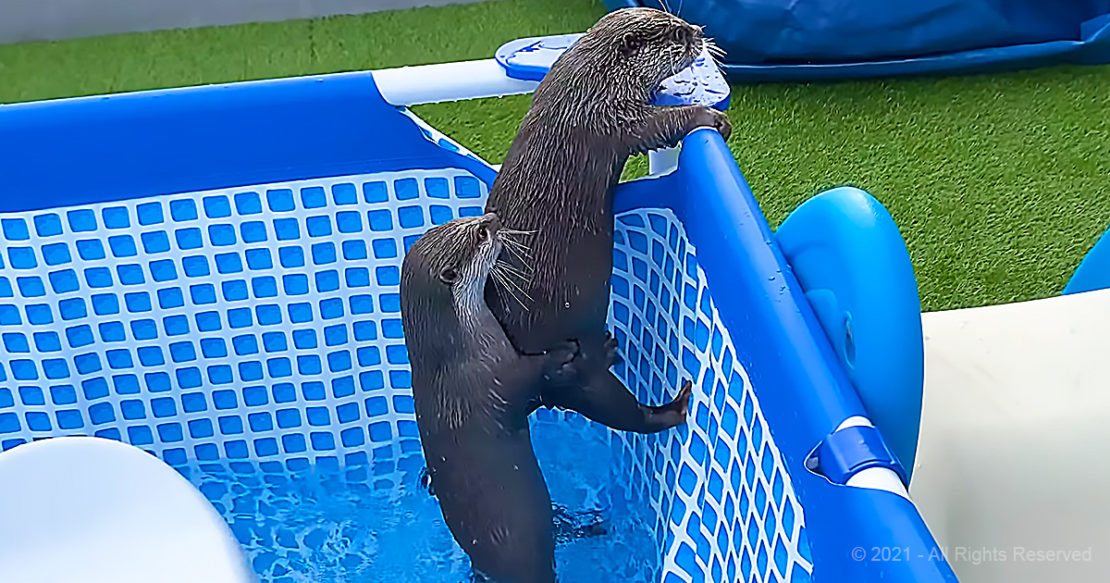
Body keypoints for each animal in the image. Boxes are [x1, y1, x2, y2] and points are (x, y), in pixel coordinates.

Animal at [401, 213, 603, 583]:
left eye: (466, 219)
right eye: (482, 233)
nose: (493, 217)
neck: (460, 351)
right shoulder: (498, 375)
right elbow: (533, 377)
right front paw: (563, 353)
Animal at [484, 7, 731, 433]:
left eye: (679, 22)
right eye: (677, 35)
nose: (699, 32)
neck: (587, 87)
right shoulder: (611, 119)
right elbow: (661, 125)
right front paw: (710, 117)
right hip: (584, 379)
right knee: (627, 413)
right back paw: (677, 403)